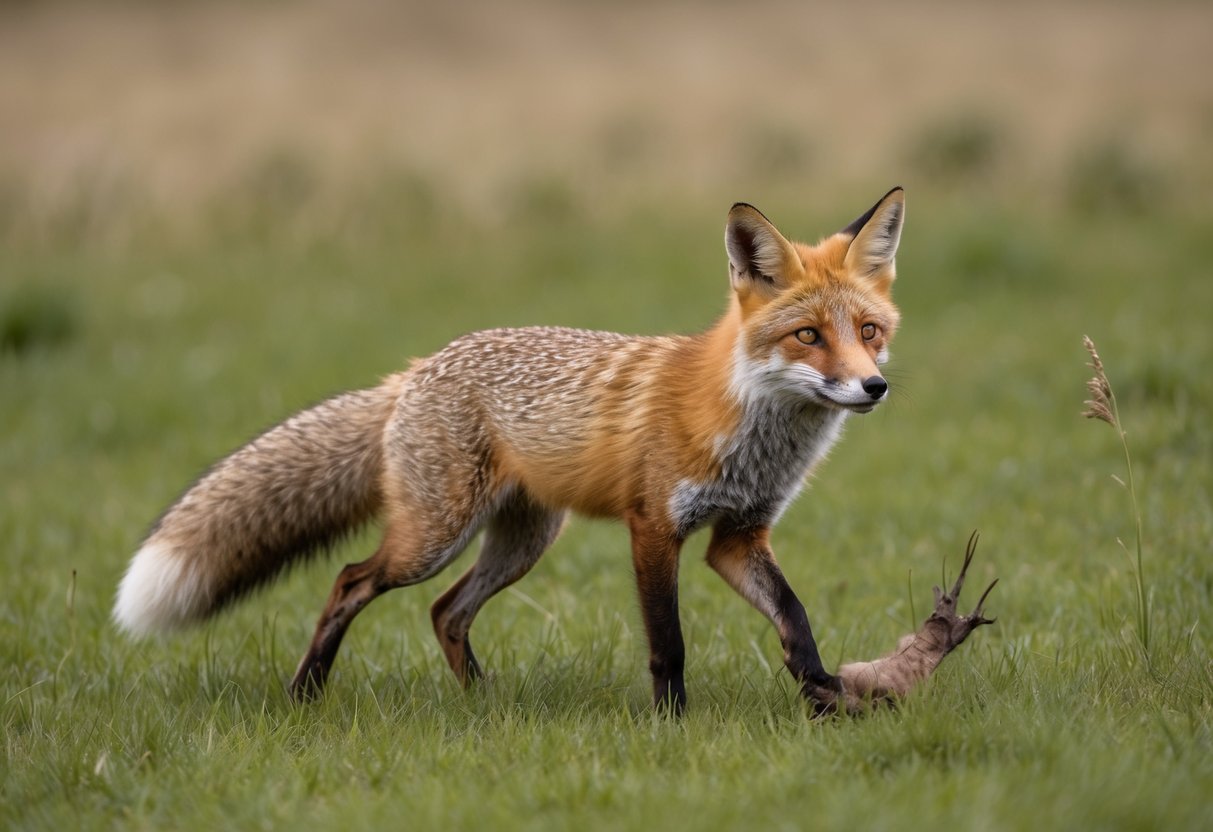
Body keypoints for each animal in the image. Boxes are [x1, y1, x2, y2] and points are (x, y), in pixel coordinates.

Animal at [114, 187, 905, 713]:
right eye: (808, 336)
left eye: (868, 330)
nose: (874, 387)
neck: (749, 428)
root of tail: (414, 370)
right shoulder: (653, 528)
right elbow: (668, 643)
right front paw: (671, 726)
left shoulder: (738, 536)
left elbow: (796, 620)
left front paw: (830, 700)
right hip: (432, 538)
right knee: (350, 581)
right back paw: (307, 690)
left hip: (523, 540)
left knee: (445, 612)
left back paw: (482, 703)